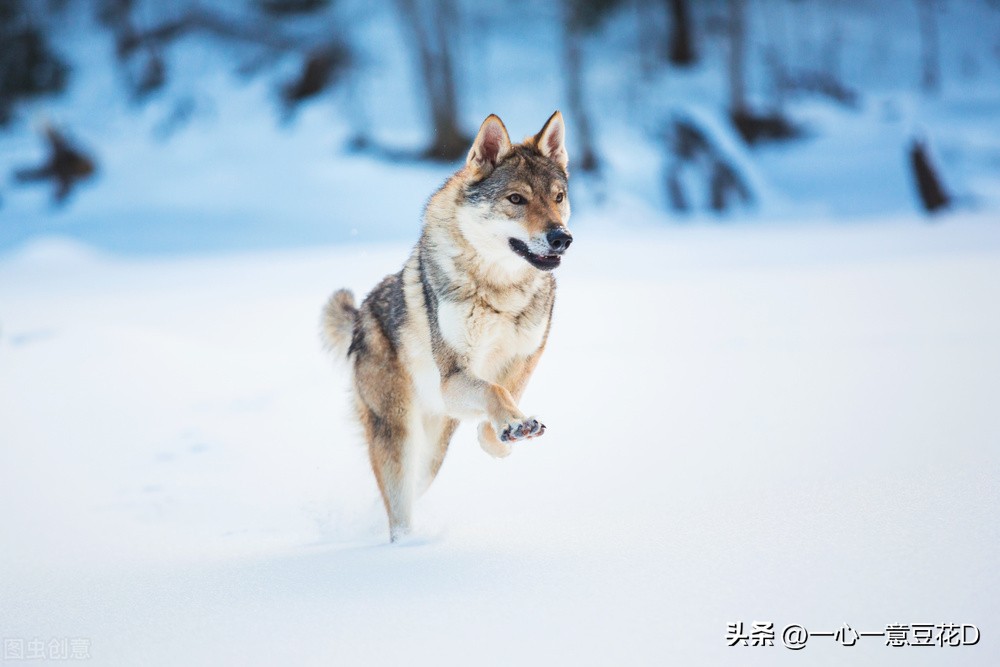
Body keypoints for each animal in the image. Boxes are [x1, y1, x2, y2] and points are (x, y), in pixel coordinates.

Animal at [322, 111, 572, 542]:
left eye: (558, 198)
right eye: (516, 199)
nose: (562, 238)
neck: (499, 291)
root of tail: (360, 318)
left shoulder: (527, 356)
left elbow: (505, 394)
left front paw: (503, 438)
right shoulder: (454, 376)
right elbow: (494, 391)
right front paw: (512, 425)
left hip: (431, 456)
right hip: (401, 438)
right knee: (398, 510)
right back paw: (405, 546)